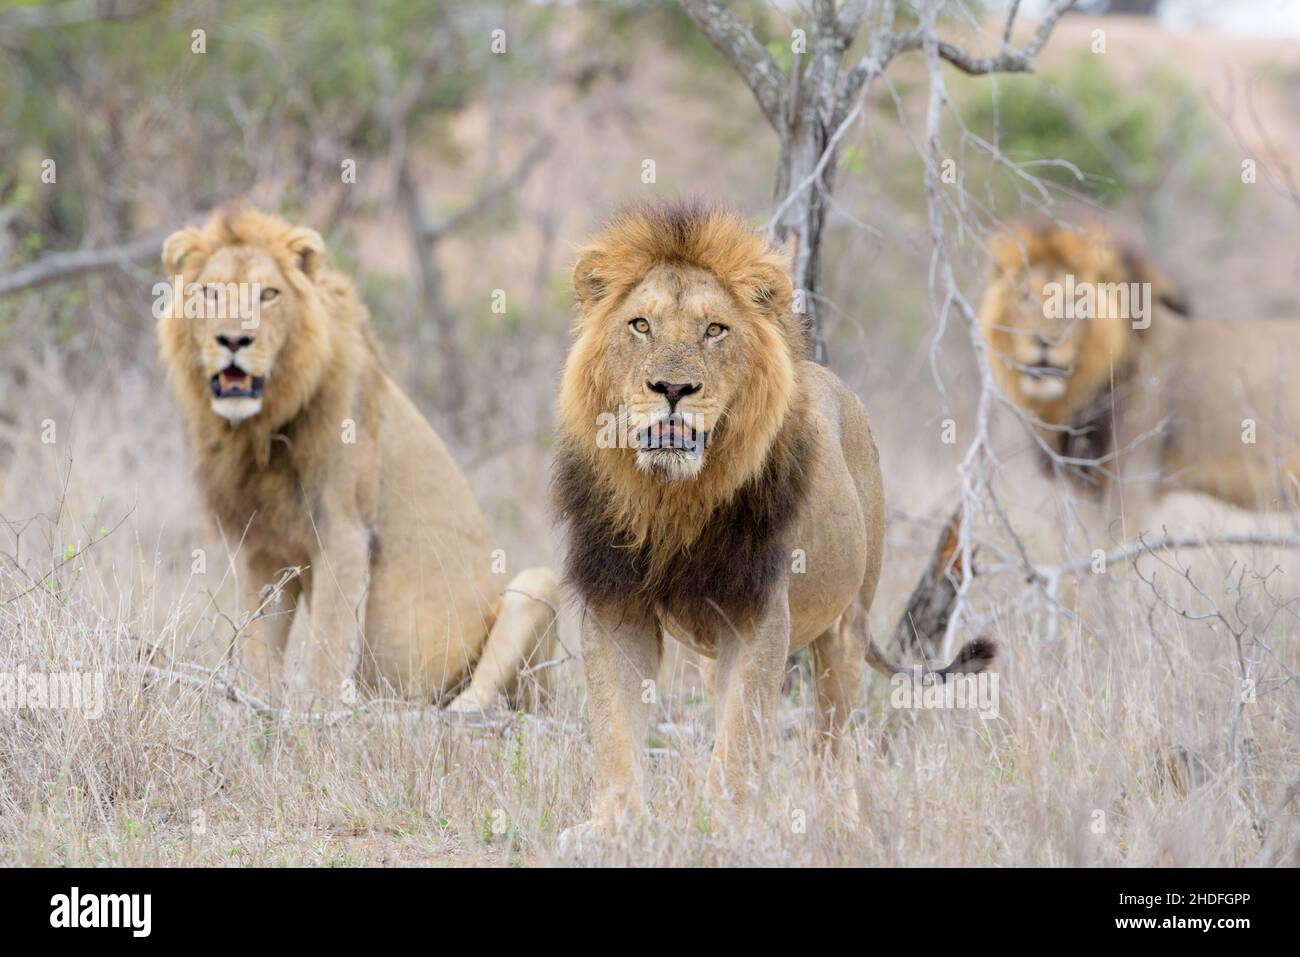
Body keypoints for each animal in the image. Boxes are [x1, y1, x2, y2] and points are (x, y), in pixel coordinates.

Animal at [158, 206, 558, 711]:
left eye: (268, 294)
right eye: (210, 293)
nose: (234, 340)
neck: (259, 430)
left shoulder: (345, 536)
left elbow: (327, 654)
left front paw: (316, 718)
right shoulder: (261, 547)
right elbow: (257, 649)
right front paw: (254, 707)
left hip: (538, 588)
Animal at [553, 199, 994, 837]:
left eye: (715, 329)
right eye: (640, 325)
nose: (672, 388)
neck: (673, 498)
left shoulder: (758, 612)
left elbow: (742, 736)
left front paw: (726, 829)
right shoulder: (616, 603)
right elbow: (615, 726)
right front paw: (612, 827)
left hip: (847, 623)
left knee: (831, 737)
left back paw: (837, 819)